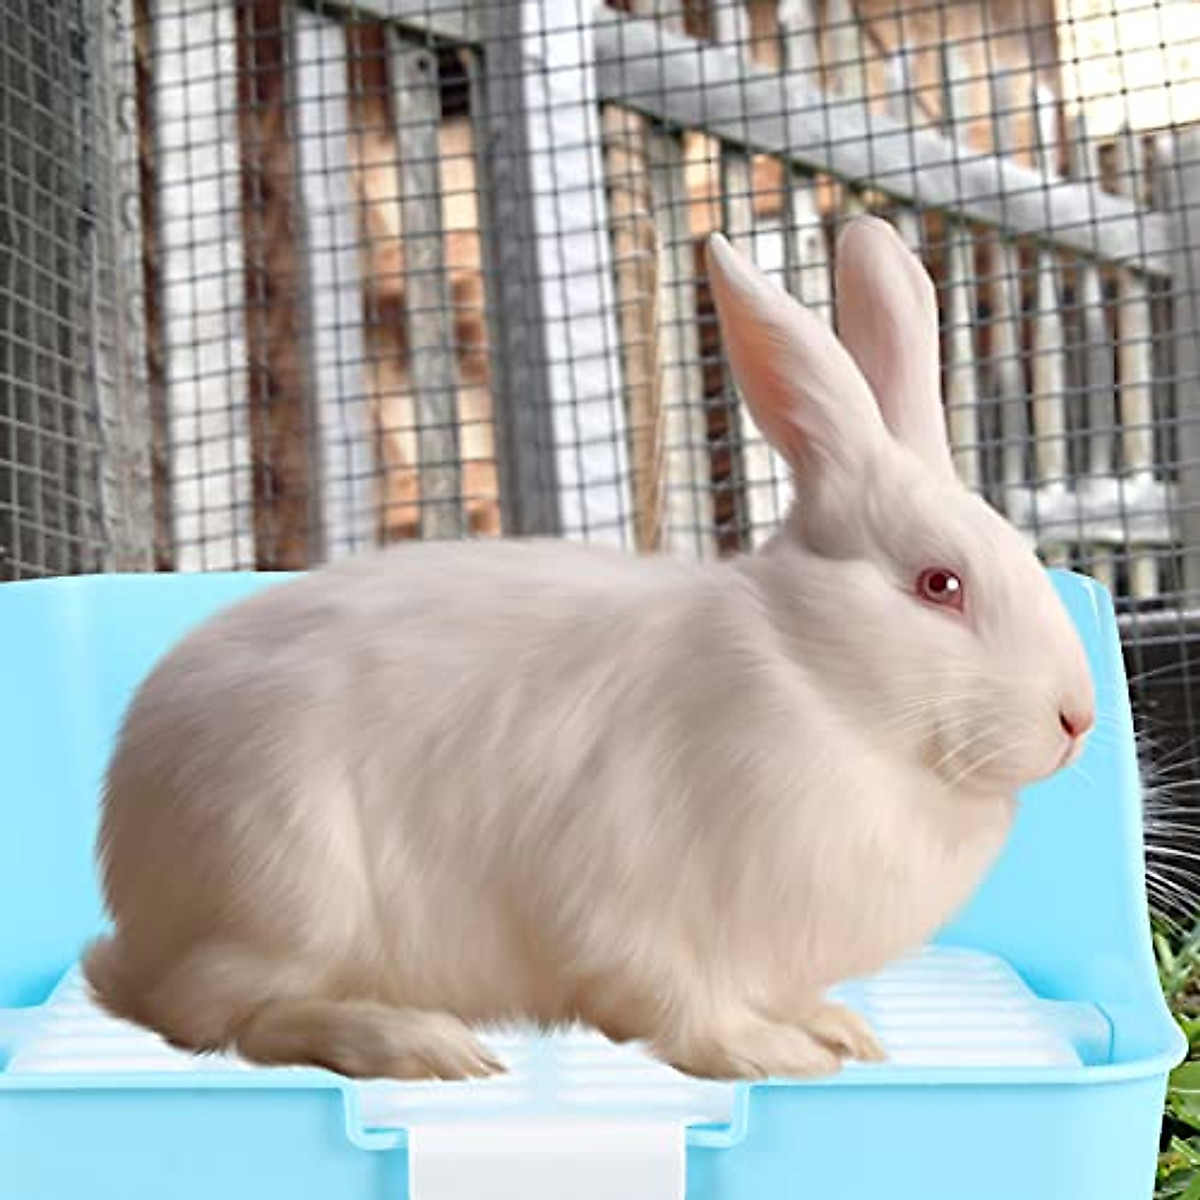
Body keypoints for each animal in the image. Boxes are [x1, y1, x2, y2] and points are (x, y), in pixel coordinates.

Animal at [84, 216, 1095, 1083]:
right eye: (940, 585)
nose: (1077, 720)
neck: (818, 680)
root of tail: (134, 888)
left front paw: (836, 1026)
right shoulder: (632, 905)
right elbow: (680, 1005)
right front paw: (773, 1054)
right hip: (291, 888)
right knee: (223, 1015)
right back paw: (417, 1043)